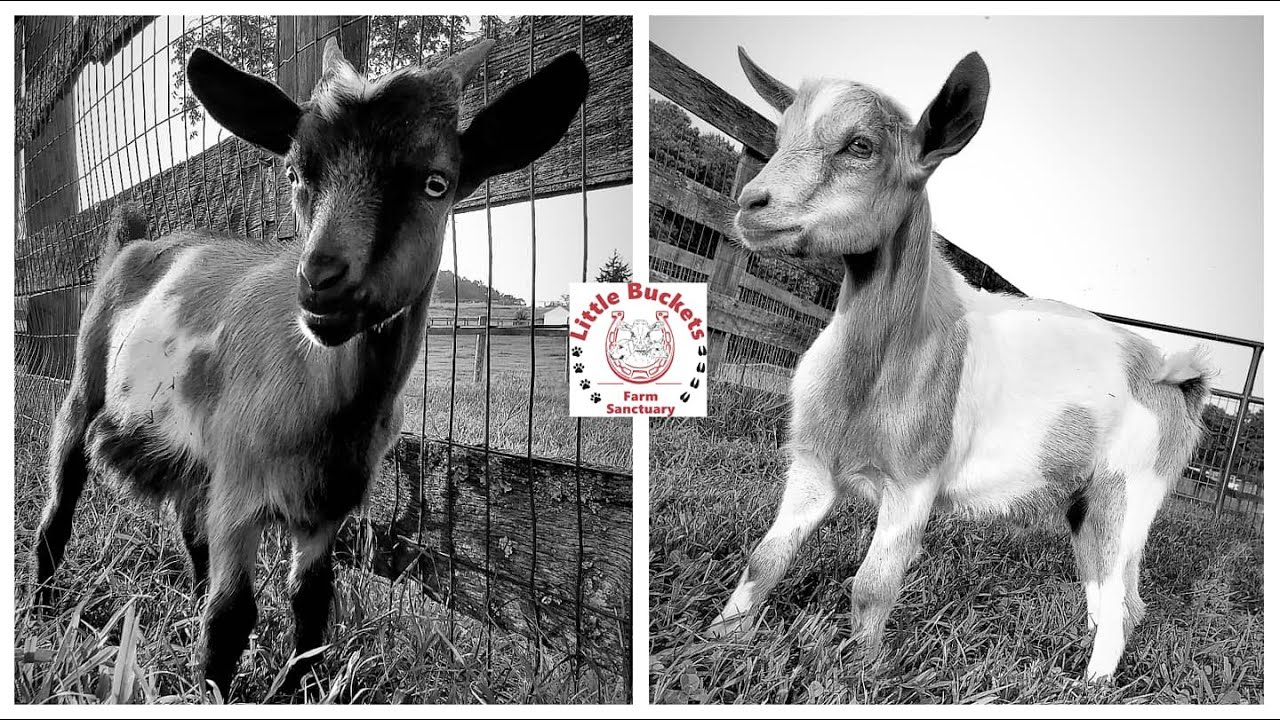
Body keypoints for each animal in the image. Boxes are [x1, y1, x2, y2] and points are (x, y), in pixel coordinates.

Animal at [33, 38, 588, 697]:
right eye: (296, 173)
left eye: (436, 183)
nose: (320, 282)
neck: (330, 403)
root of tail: (133, 241)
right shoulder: (241, 489)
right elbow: (230, 617)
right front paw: (213, 684)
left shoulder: (326, 506)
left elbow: (312, 609)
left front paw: (295, 686)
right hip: (87, 383)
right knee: (59, 506)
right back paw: (42, 614)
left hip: (193, 452)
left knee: (191, 534)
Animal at [712, 48, 1213, 681]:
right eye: (779, 137)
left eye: (860, 145)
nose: (751, 204)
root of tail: (1174, 375)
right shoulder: (812, 465)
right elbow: (765, 558)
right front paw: (717, 640)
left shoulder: (915, 482)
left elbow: (872, 587)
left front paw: (863, 674)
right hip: (1088, 498)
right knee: (1109, 589)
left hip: (1135, 488)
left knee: (1122, 598)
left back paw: (1094, 682)